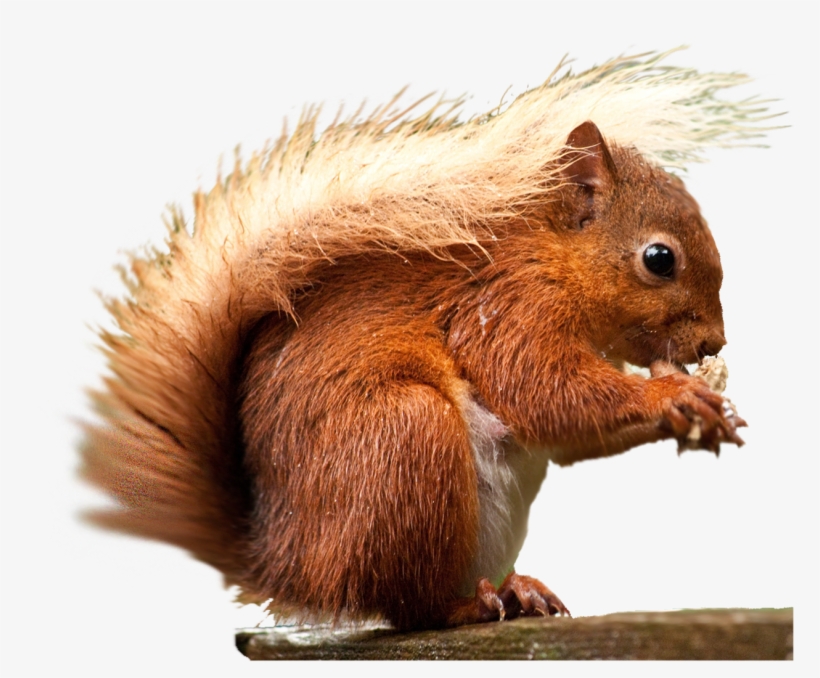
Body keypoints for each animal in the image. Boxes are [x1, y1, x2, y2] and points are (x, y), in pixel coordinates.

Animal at [81, 53, 758, 632]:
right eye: (659, 259)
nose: (713, 344)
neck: (552, 257)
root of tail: (285, 562)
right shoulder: (506, 309)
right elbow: (542, 393)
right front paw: (673, 397)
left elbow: (565, 435)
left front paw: (700, 411)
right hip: (408, 437)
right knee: (410, 607)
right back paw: (470, 605)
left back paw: (516, 591)